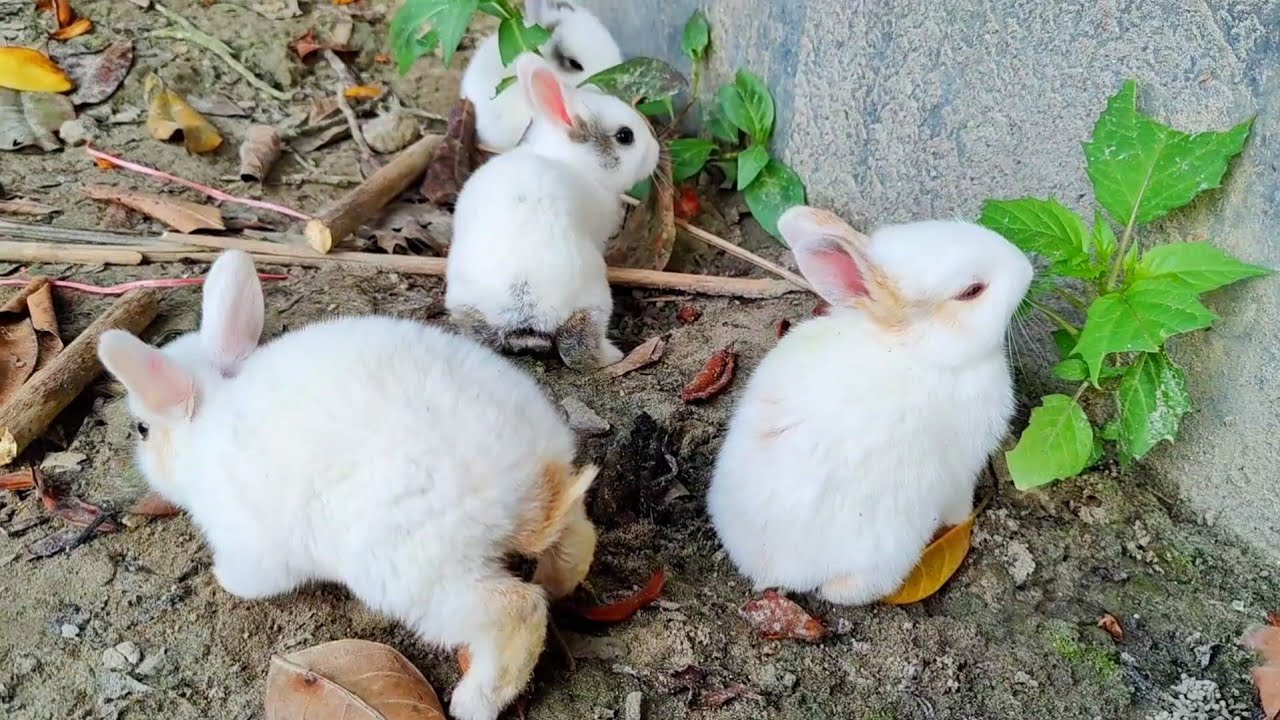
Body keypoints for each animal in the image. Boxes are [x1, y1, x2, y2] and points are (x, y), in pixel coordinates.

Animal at [97, 250, 599, 720]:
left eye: (142, 429)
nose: (140, 459)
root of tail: (539, 482)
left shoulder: (254, 548)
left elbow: (251, 580)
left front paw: (222, 579)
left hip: (424, 577)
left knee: (518, 611)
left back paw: (473, 701)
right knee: (578, 543)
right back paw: (557, 584)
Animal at [446, 51, 660, 370]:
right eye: (625, 136)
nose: (656, 150)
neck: (568, 160)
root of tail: (524, 308)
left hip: (466, 307)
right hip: (592, 301)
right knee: (578, 349)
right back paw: (613, 355)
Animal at [707, 207, 1033, 606]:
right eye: (972, 291)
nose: (1027, 268)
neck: (920, 350)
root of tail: (770, 570)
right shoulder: (962, 468)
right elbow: (958, 502)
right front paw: (965, 519)